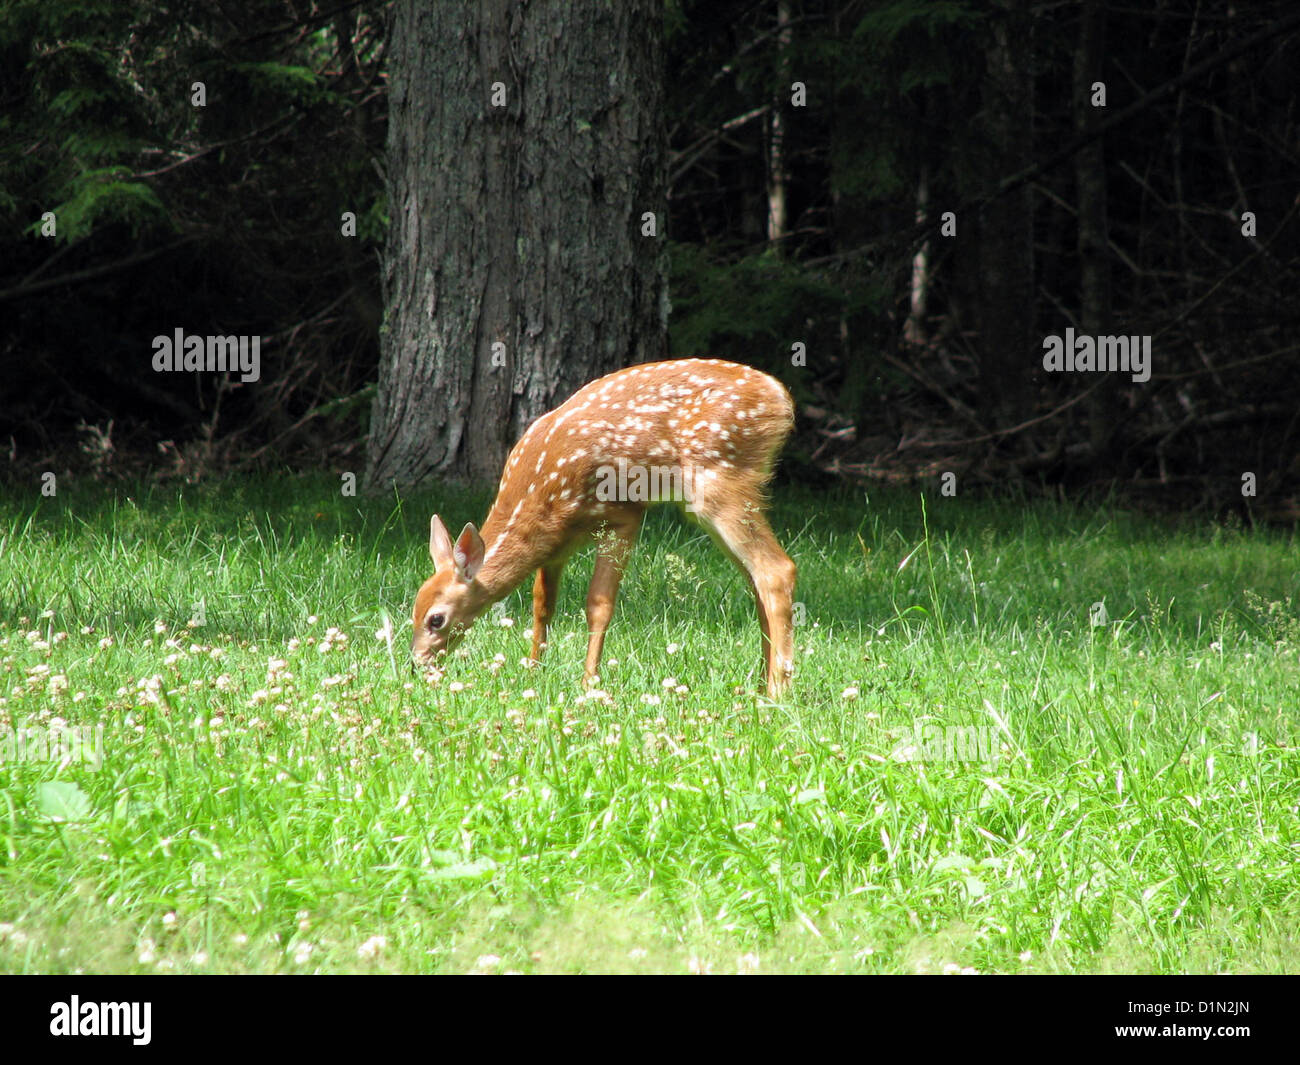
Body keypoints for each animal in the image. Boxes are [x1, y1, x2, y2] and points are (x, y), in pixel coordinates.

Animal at [411, 358, 797, 697]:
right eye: (414, 608)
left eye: (436, 619)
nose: (417, 665)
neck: (541, 496)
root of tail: (780, 396)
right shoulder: (556, 546)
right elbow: (542, 604)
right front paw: (533, 671)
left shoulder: (623, 515)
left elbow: (599, 604)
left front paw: (588, 683)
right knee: (755, 579)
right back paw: (760, 686)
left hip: (721, 479)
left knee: (777, 570)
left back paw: (778, 691)